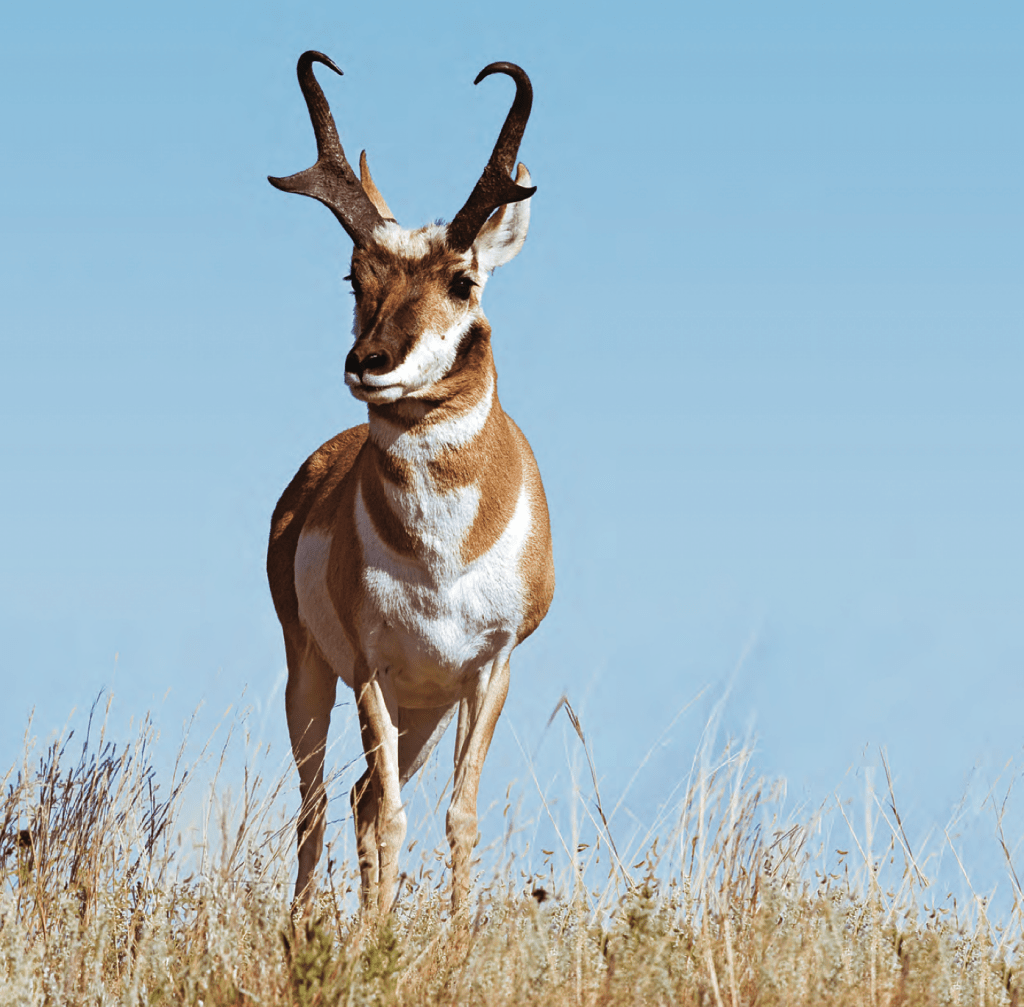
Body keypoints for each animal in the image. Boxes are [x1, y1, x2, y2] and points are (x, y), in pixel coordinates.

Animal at [266, 51, 554, 916]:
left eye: (463, 280)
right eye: (353, 274)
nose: (370, 363)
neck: (442, 557)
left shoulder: (488, 669)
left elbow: (459, 815)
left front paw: (456, 939)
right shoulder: (372, 671)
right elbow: (393, 815)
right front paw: (377, 937)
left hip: (426, 707)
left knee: (358, 798)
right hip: (310, 675)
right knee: (322, 802)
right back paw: (309, 926)